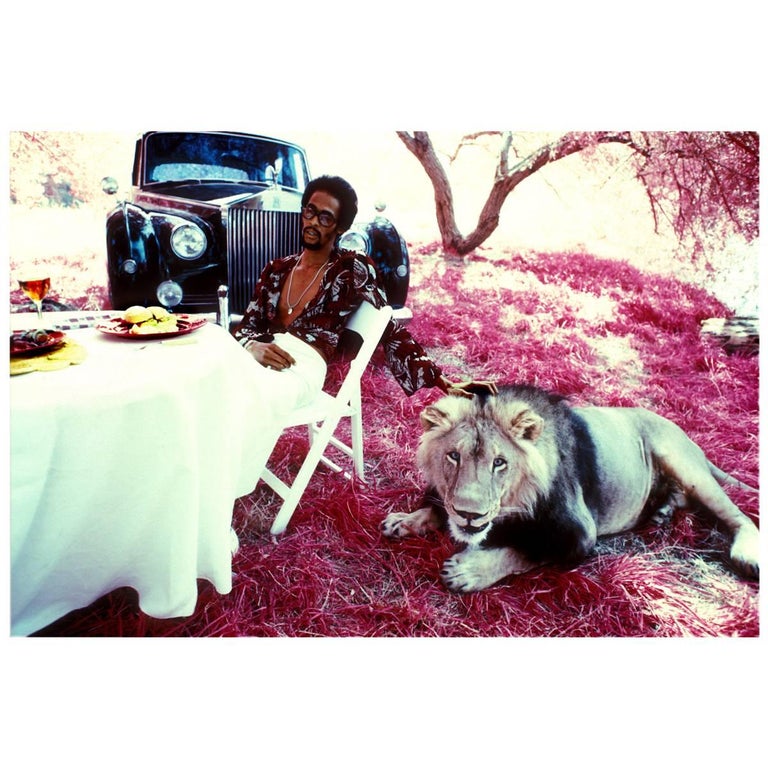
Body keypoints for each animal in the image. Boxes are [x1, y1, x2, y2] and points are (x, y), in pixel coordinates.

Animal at [382, 384, 760, 592]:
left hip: (680, 459)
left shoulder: (580, 534)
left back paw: (746, 554)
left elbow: (525, 549)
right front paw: (406, 520)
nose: (469, 514)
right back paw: (663, 511)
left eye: (500, 462)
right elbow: (437, 506)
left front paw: (469, 570)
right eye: (453, 456)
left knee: (737, 514)